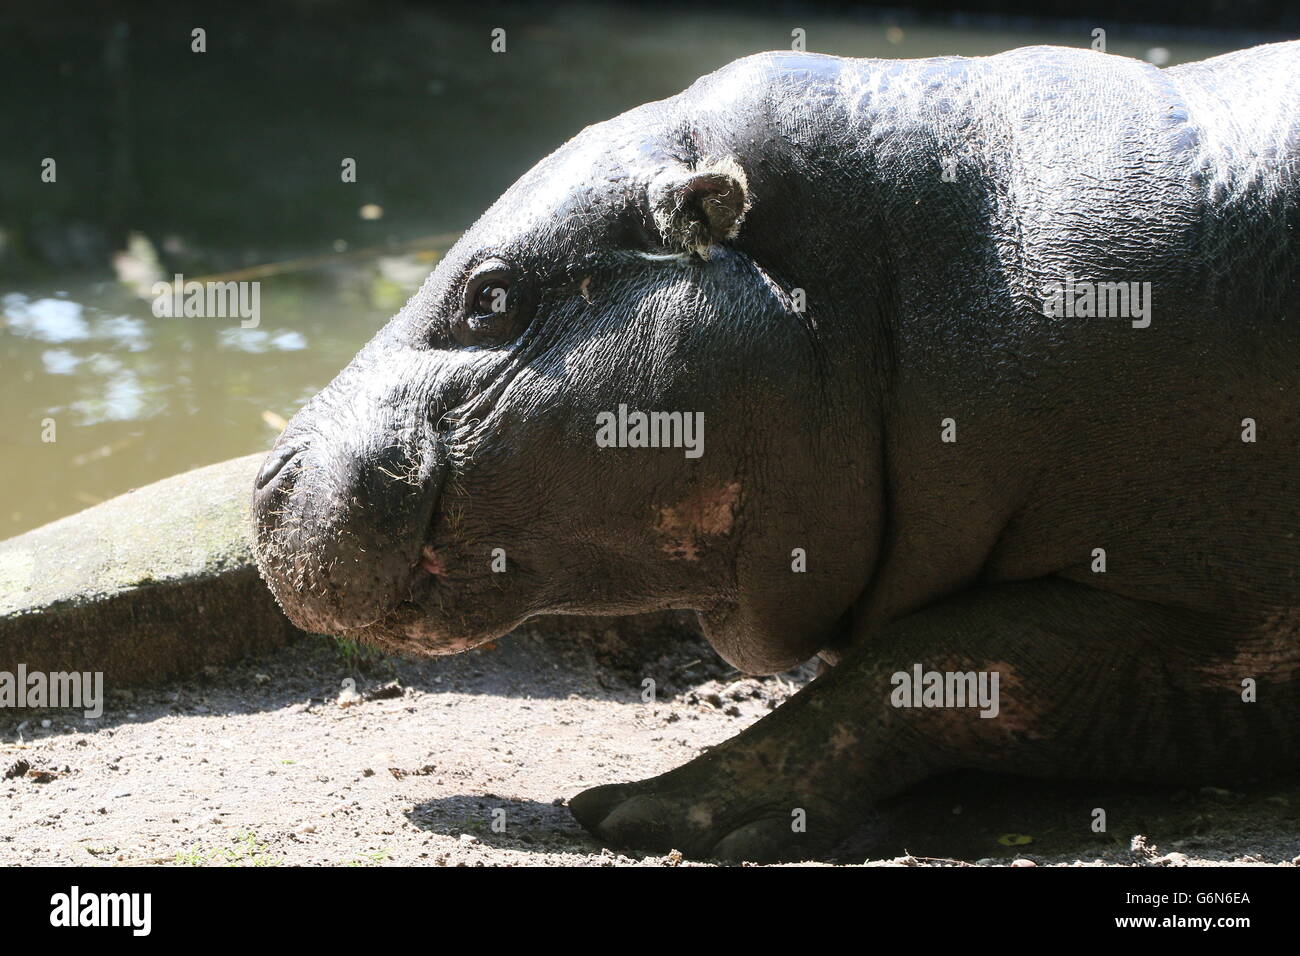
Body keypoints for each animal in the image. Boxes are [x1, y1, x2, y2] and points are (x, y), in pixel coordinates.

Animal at [252, 42, 1300, 861]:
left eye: (493, 295)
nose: (267, 475)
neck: (885, 284)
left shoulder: (1180, 600)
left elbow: (933, 661)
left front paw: (644, 812)